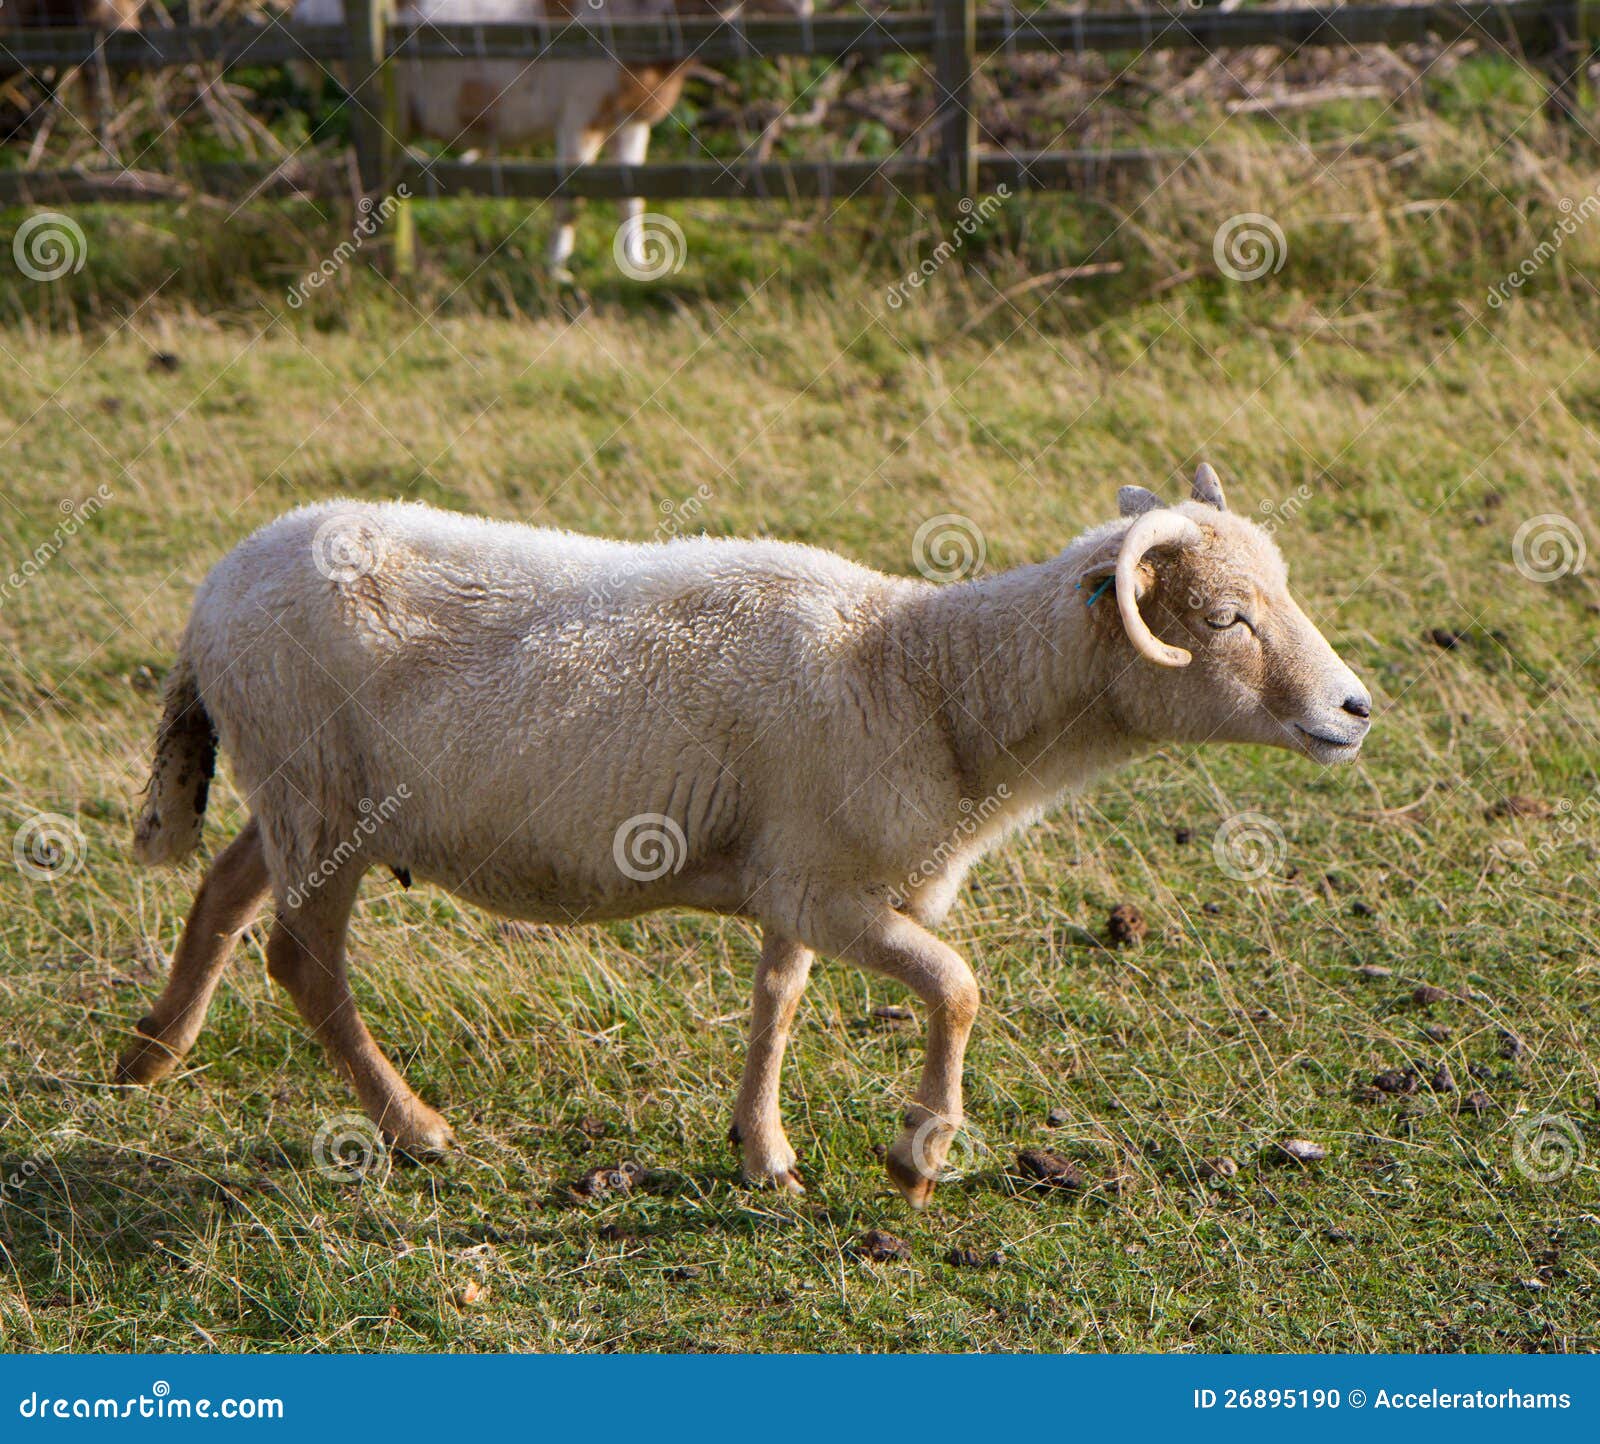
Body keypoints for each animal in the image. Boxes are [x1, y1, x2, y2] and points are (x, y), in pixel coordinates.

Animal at [120, 464, 1372, 1206]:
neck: (925, 681)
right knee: (302, 960)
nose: (1356, 709)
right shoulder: (829, 888)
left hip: (301, 792)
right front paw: (918, 1151)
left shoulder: (794, 874)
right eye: (1225, 617)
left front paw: (761, 1149)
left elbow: (778, 1001)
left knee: (226, 890)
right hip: (317, 790)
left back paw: (151, 1055)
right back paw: (414, 1127)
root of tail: (215, 587)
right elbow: (956, 985)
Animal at [289, 0, 813, 279]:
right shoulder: (576, 121)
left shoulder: (631, 121)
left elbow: (631, 196)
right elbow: (570, 198)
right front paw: (557, 269)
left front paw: (639, 261)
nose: (807, 10)